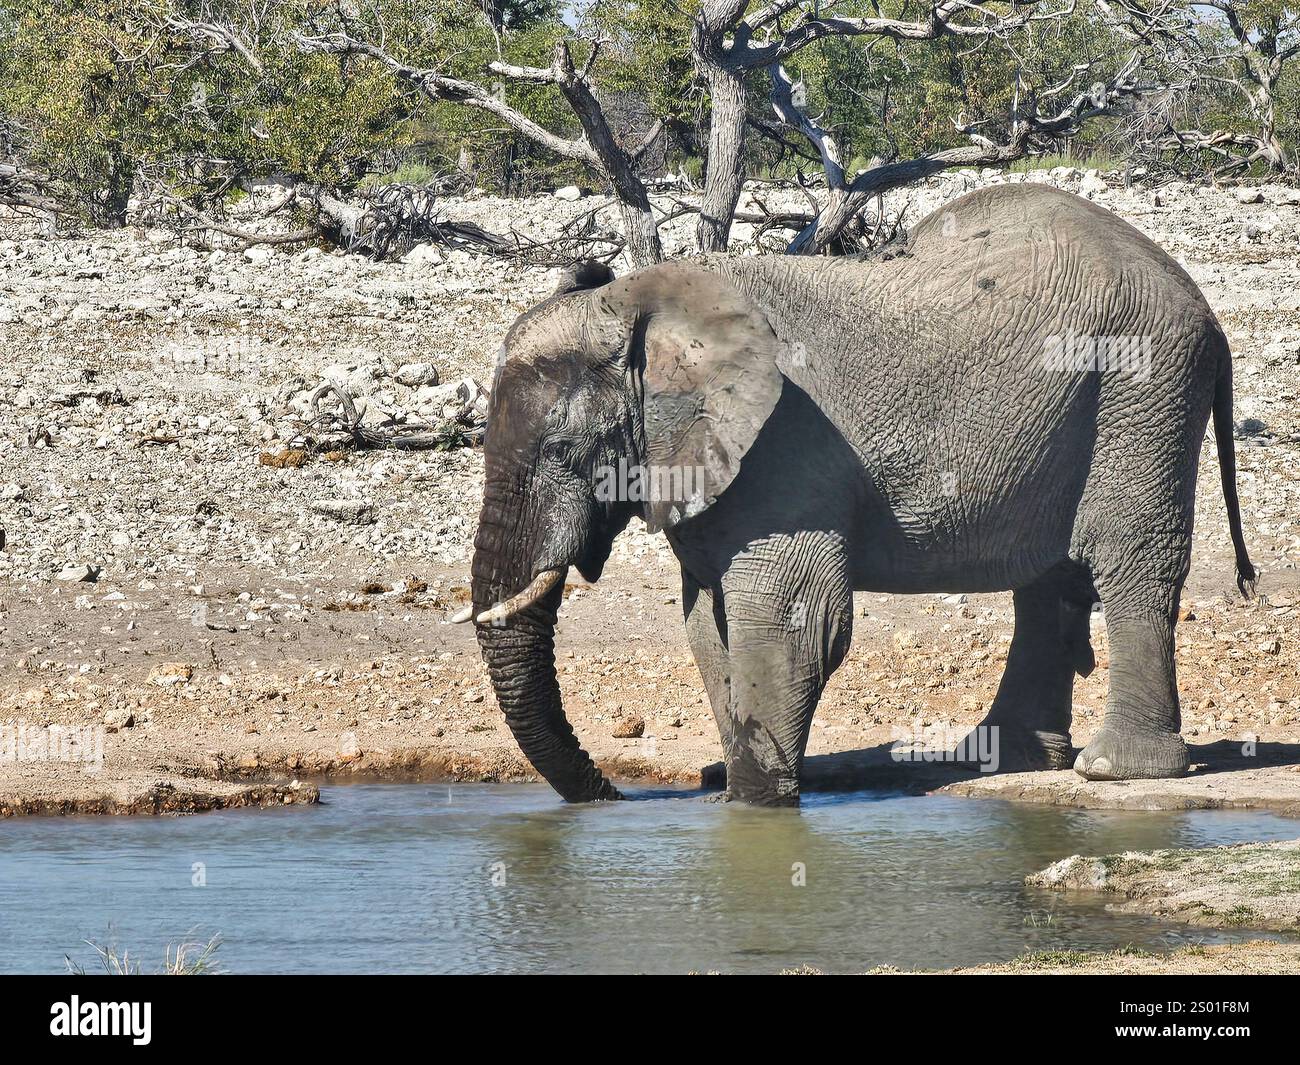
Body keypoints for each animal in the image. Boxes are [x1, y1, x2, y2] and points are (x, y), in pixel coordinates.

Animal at [459, 182, 1255, 805]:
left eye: (561, 452)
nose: (614, 794)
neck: (649, 304)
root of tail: (1201, 303)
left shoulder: (781, 452)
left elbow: (790, 619)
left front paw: (755, 803)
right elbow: (706, 625)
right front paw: (731, 784)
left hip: (1144, 388)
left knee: (1131, 564)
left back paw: (1115, 769)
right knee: (1046, 584)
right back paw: (1003, 758)